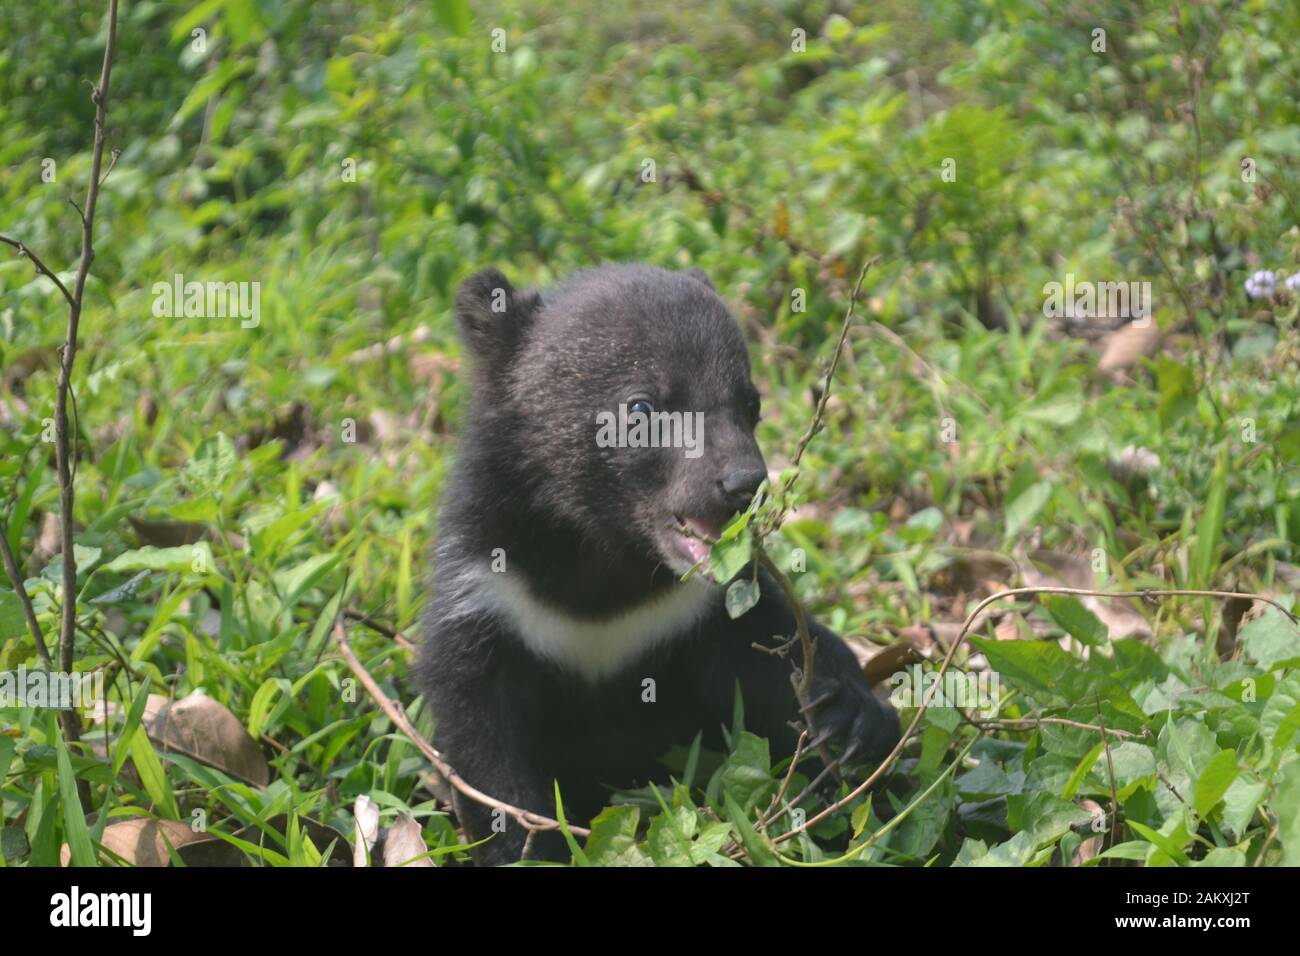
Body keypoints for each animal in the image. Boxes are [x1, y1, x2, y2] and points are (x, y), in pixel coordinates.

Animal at [417, 264, 899, 864]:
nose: (745, 484)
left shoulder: (698, 611)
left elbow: (769, 643)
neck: (603, 554)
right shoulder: (487, 596)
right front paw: (528, 846)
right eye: (643, 408)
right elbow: (483, 740)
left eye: (751, 405)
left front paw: (852, 719)